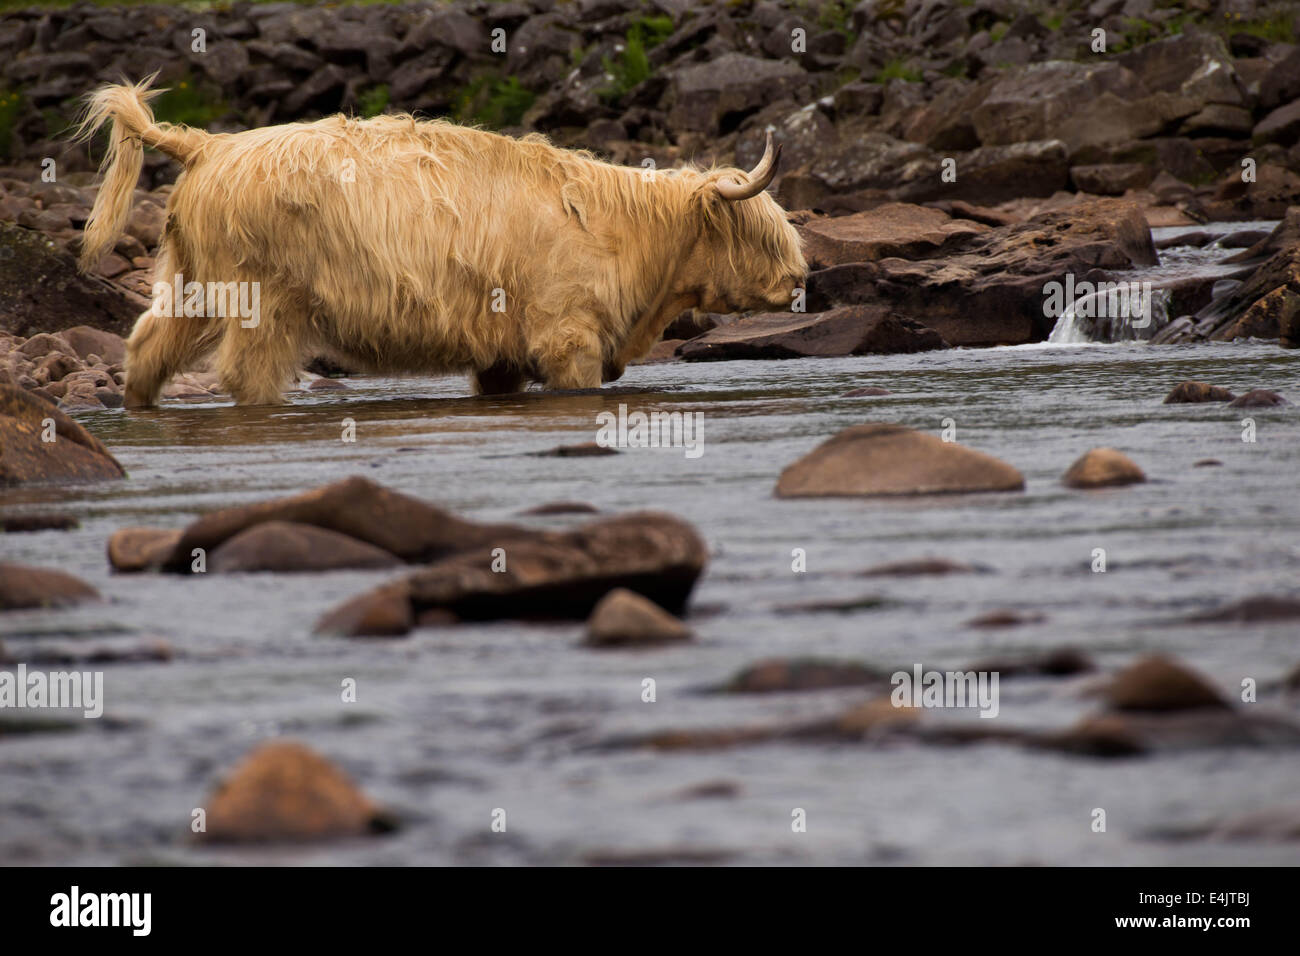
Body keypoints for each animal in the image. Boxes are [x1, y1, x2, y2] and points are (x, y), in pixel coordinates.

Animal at [75, 78, 807, 407]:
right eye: (763, 230)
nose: (800, 281)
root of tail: (208, 144)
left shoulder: (505, 352)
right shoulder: (568, 335)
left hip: (190, 285)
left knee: (146, 346)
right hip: (266, 302)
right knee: (246, 372)